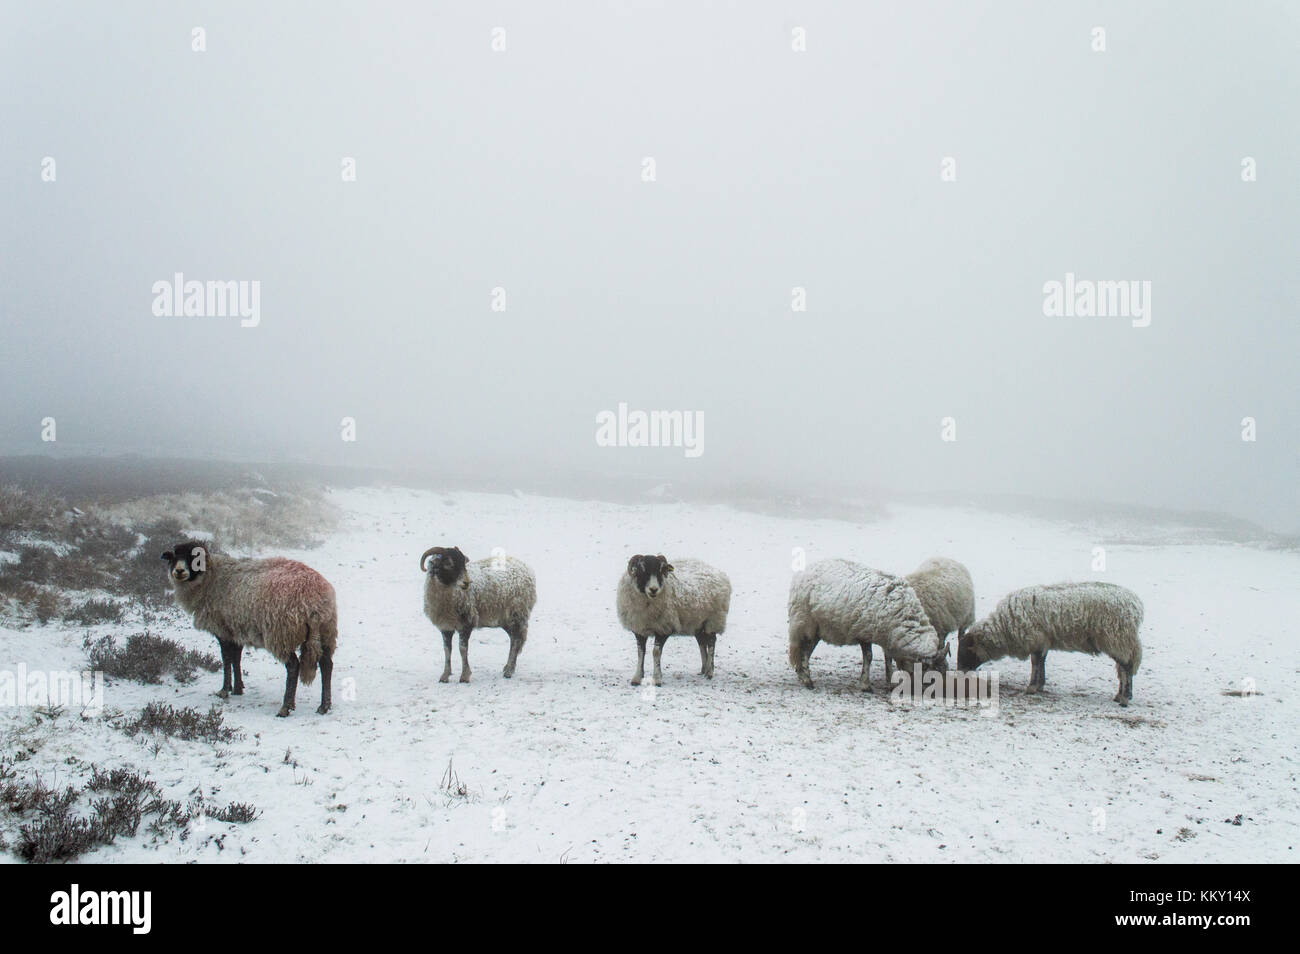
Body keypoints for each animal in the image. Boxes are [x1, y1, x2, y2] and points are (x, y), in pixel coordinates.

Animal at [162, 541, 337, 717]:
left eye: (193, 556)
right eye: (174, 556)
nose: (179, 571)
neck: (211, 578)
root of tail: (313, 602)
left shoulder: (222, 629)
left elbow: (226, 658)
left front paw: (224, 690)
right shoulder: (236, 631)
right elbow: (236, 658)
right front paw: (238, 688)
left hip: (281, 634)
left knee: (293, 666)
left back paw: (285, 707)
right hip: (326, 632)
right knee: (326, 664)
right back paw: (324, 706)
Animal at [420, 546, 537, 683]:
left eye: (463, 563)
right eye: (448, 563)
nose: (467, 582)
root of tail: (525, 567)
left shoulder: (467, 623)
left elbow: (462, 649)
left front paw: (465, 676)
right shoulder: (445, 626)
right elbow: (447, 650)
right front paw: (445, 676)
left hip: (517, 613)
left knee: (517, 640)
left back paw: (508, 672)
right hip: (505, 619)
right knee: (514, 639)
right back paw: (509, 667)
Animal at [617, 555, 731, 686]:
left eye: (662, 570)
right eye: (642, 570)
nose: (653, 589)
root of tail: (719, 572)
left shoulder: (664, 628)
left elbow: (656, 652)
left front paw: (657, 679)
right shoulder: (639, 629)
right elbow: (641, 652)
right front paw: (637, 678)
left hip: (713, 620)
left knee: (711, 642)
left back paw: (710, 673)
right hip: (697, 622)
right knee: (702, 642)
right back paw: (704, 669)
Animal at [787, 558, 947, 691]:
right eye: (930, 670)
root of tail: (804, 571)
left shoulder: (888, 639)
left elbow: (887, 659)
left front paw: (890, 683)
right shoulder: (864, 633)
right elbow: (869, 657)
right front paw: (865, 685)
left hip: (817, 628)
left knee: (806, 651)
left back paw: (803, 676)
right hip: (806, 622)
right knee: (804, 652)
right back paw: (807, 681)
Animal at [956, 582, 1143, 705]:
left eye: (966, 652)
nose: (959, 673)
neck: (1004, 628)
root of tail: (1136, 606)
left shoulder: (1035, 639)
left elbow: (1035, 662)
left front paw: (1031, 687)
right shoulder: (1043, 641)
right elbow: (1041, 662)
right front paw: (1040, 685)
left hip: (1117, 638)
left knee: (1126, 666)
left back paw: (1125, 697)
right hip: (1122, 641)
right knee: (1124, 668)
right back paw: (1120, 695)